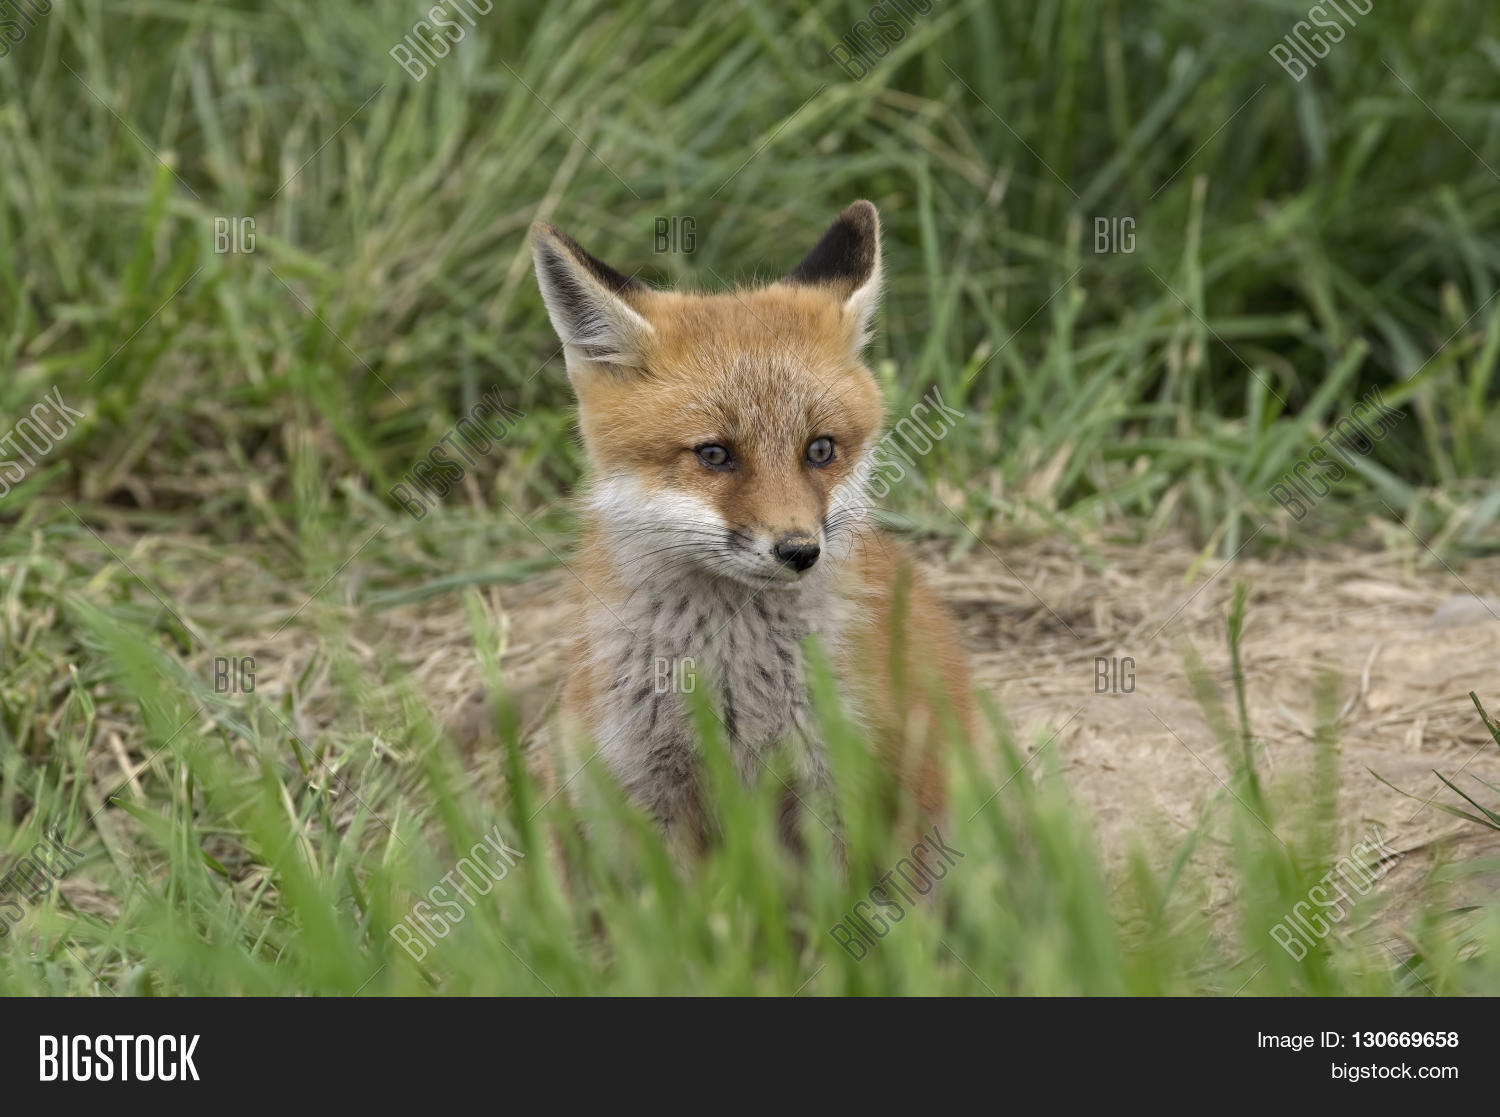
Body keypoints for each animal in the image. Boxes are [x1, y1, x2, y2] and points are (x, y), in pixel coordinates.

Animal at [529, 200, 974, 858]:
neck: (734, 670)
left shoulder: (834, 777)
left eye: (820, 449)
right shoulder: (646, 784)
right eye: (715, 455)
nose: (800, 551)